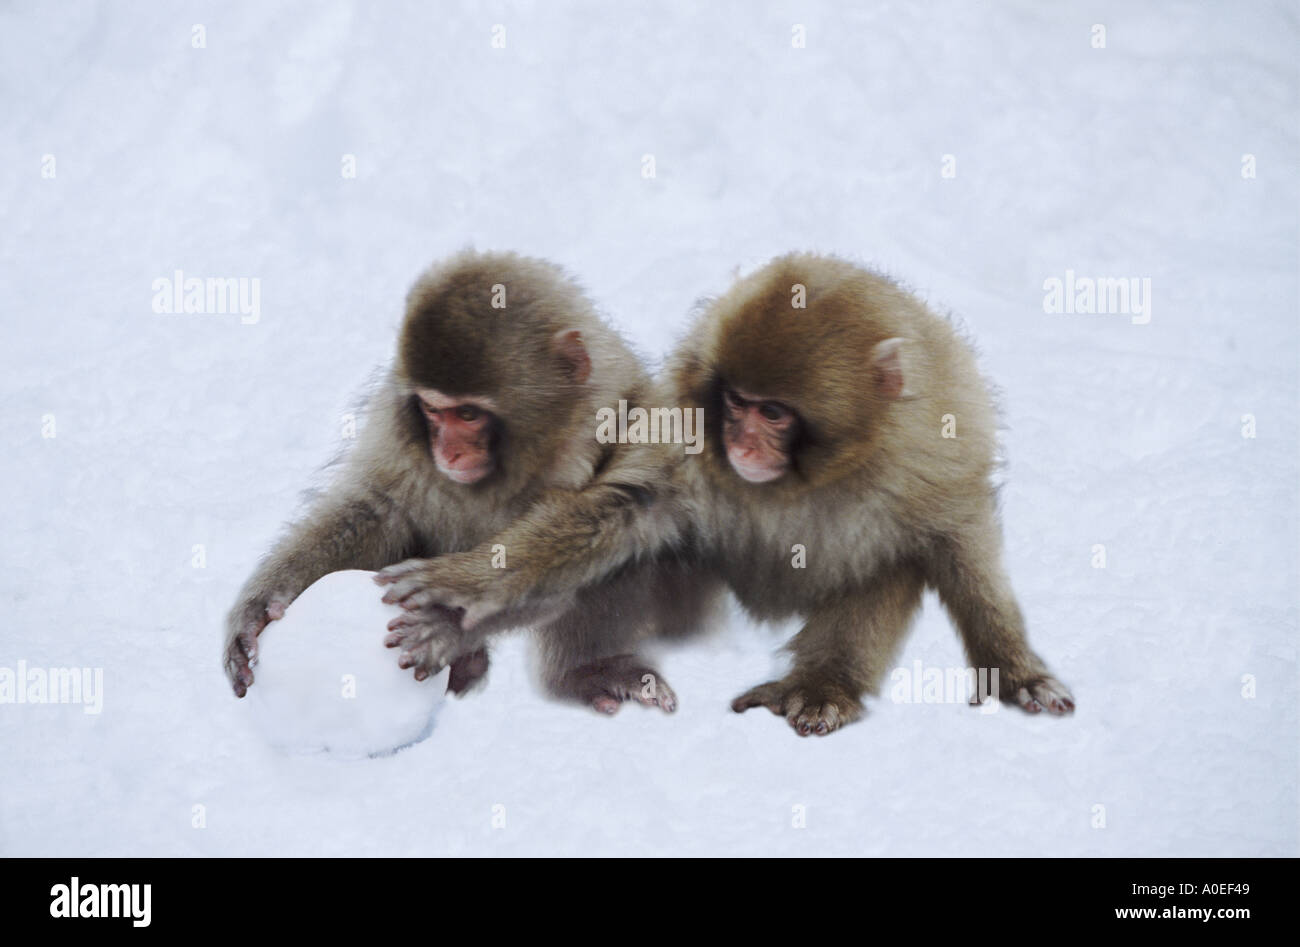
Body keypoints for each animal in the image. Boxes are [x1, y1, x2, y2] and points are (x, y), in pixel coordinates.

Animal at [224, 250, 717, 712]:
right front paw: (259, 606)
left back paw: (581, 672)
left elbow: (604, 528)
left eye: (467, 414)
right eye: (431, 410)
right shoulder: (393, 422)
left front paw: (452, 614)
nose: (449, 451)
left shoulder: (601, 431)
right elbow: (378, 506)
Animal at [375, 252, 1074, 736]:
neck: (810, 475)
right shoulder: (686, 434)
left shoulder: (936, 452)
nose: (742, 444)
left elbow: (959, 541)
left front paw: (1015, 670)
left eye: (774, 412)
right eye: (736, 403)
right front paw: (466, 589)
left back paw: (822, 685)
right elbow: (624, 509)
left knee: (891, 561)